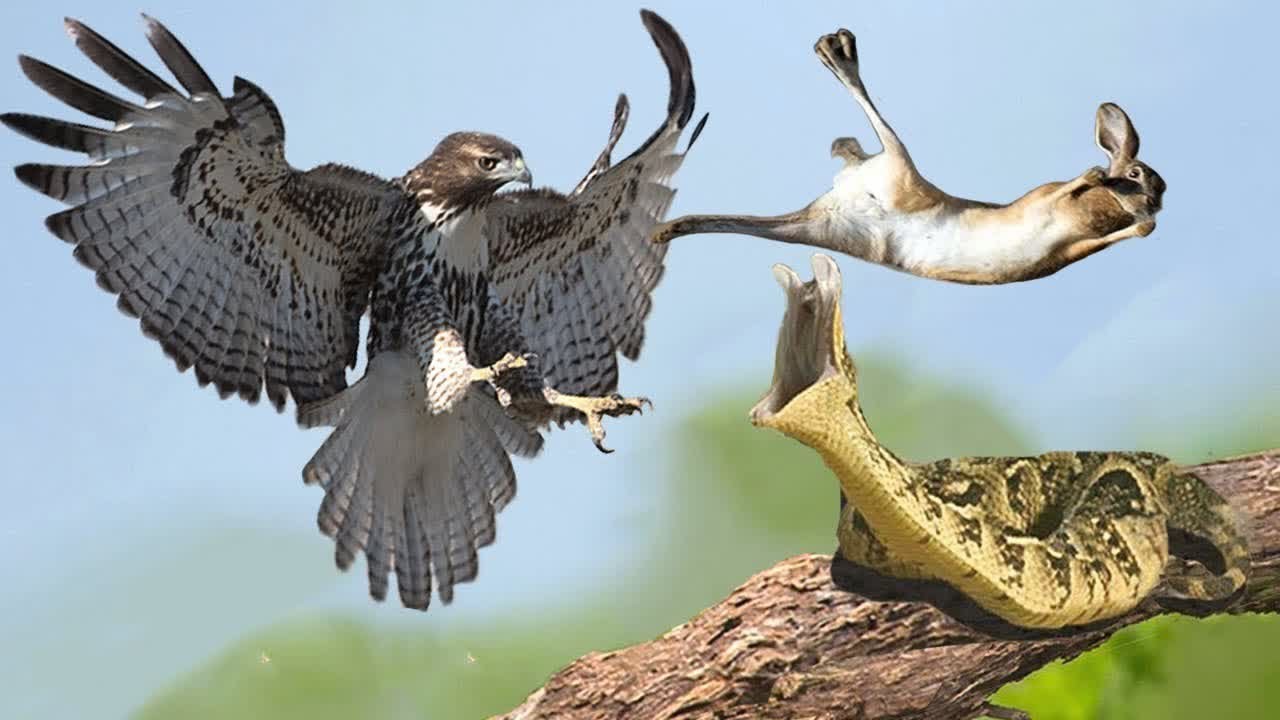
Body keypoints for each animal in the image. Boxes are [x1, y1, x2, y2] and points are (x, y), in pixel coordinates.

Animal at [653, 29, 1167, 284]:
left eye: (1161, 191)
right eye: (1137, 173)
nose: (1153, 205)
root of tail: (844, 194)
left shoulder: (1072, 250)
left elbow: (1122, 237)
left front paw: (1142, 224)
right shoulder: (1047, 198)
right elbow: (1077, 183)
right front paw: (1097, 177)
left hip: (826, 228)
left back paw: (670, 231)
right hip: (903, 174)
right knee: (882, 125)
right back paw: (837, 50)